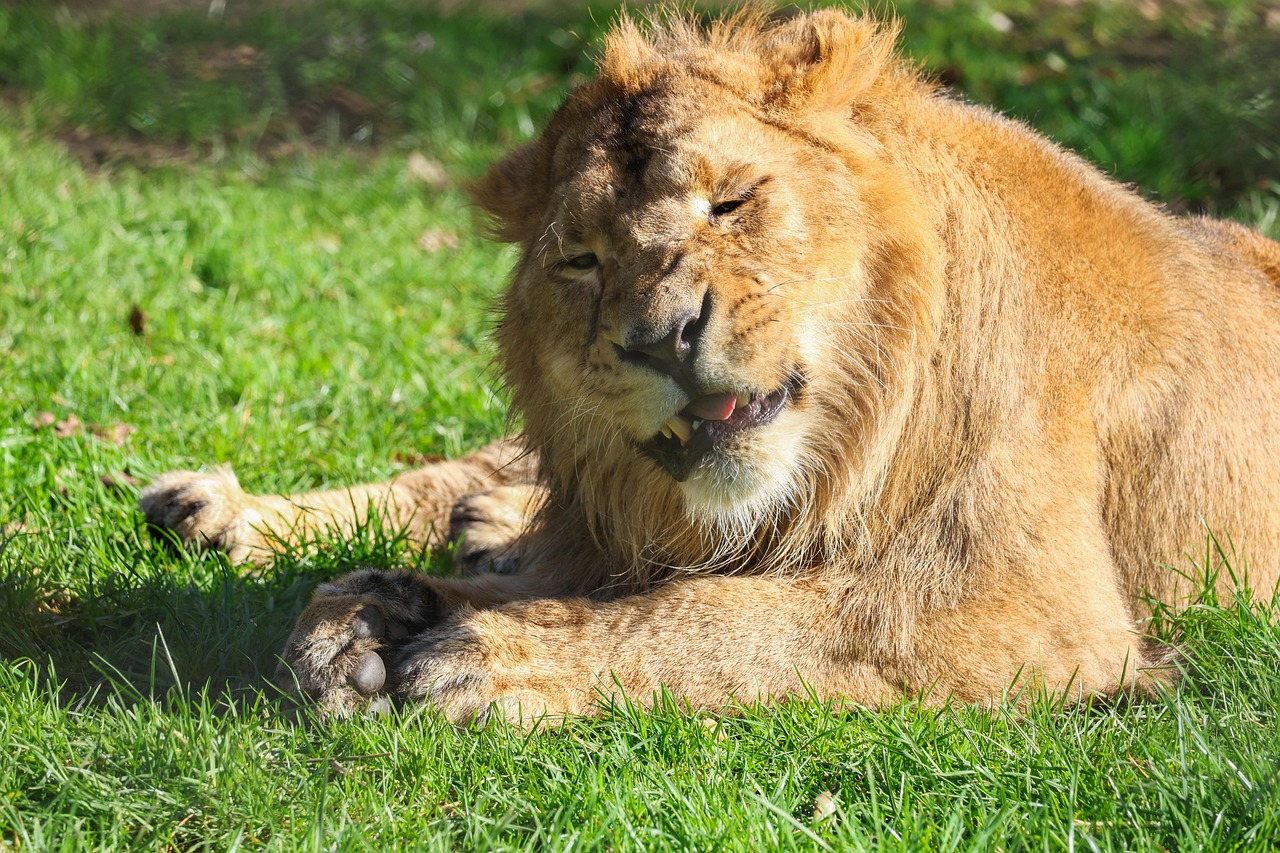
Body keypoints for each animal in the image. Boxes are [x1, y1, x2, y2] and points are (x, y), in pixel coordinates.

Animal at [140, 10, 1280, 724]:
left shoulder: (1029, 606)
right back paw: (217, 509)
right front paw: (362, 619)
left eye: (730, 201)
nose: (659, 336)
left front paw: (495, 651)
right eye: (582, 259)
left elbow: (729, 616)